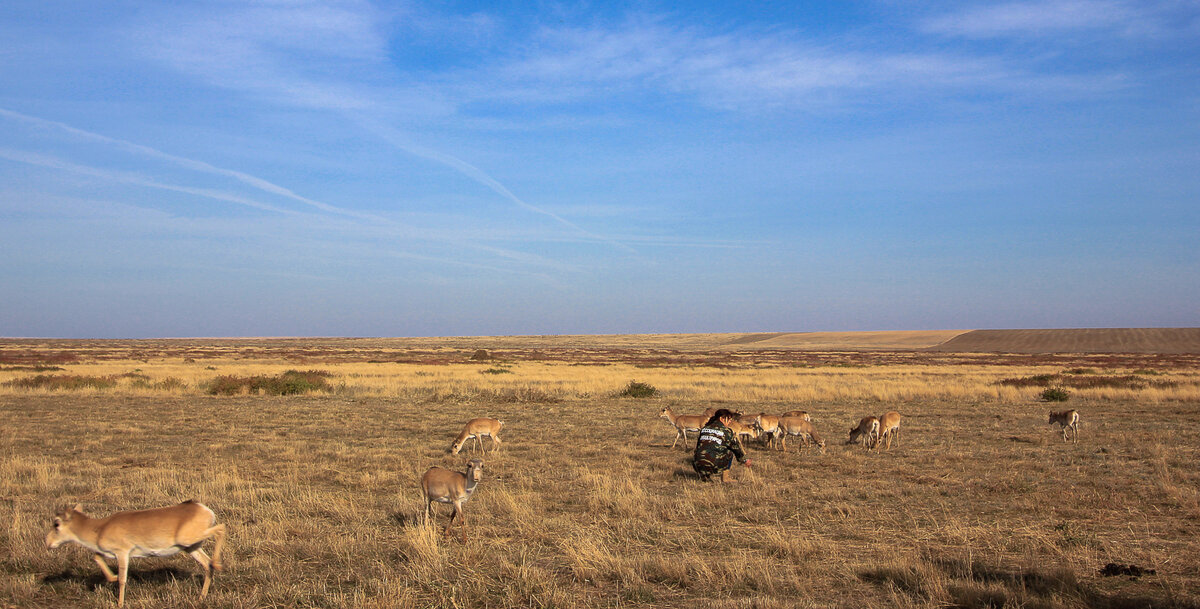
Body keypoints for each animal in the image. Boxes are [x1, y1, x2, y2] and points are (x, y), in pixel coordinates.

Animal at [43, 498, 226, 609]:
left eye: (56, 524)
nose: (47, 542)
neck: (100, 527)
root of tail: (202, 508)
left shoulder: (122, 553)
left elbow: (123, 580)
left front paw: (119, 603)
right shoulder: (109, 553)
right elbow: (96, 556)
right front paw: (112, 577)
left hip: (189, 539)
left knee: (221, 528)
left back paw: (218, 564)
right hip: (191, 547)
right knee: (206, 564)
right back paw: (201, 597)